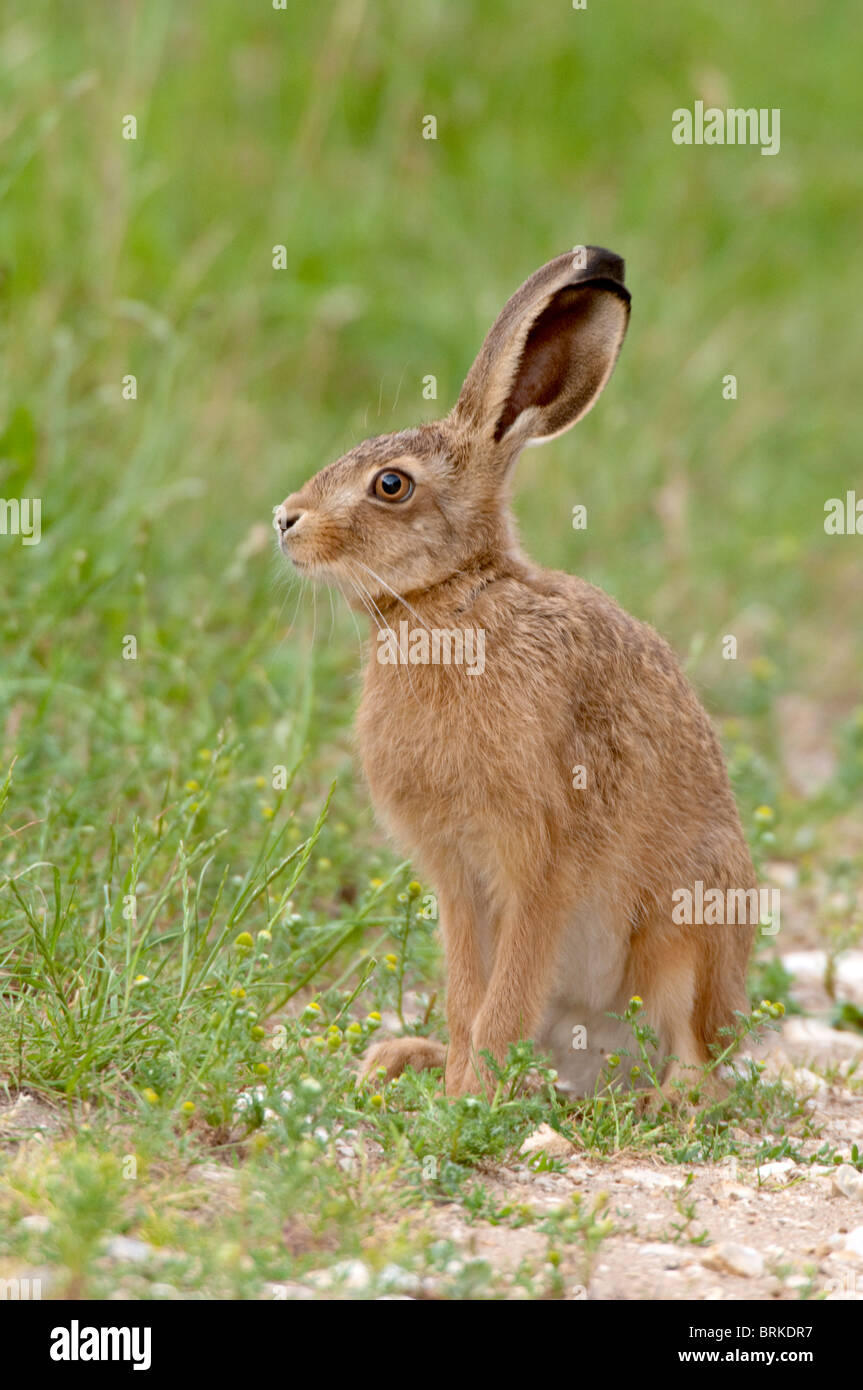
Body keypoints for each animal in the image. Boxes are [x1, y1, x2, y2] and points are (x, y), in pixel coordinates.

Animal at [273, 247, 755, 1101]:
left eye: (390, 484)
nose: (285, 520)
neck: (451, 601)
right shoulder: (457, 877)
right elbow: (468, 995)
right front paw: (452, 1088)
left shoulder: (540, 863)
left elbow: (502, 999)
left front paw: (468, 1100)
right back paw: (406, 1059)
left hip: (683, 935)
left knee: (694, 1050)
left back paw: (668, 1100)